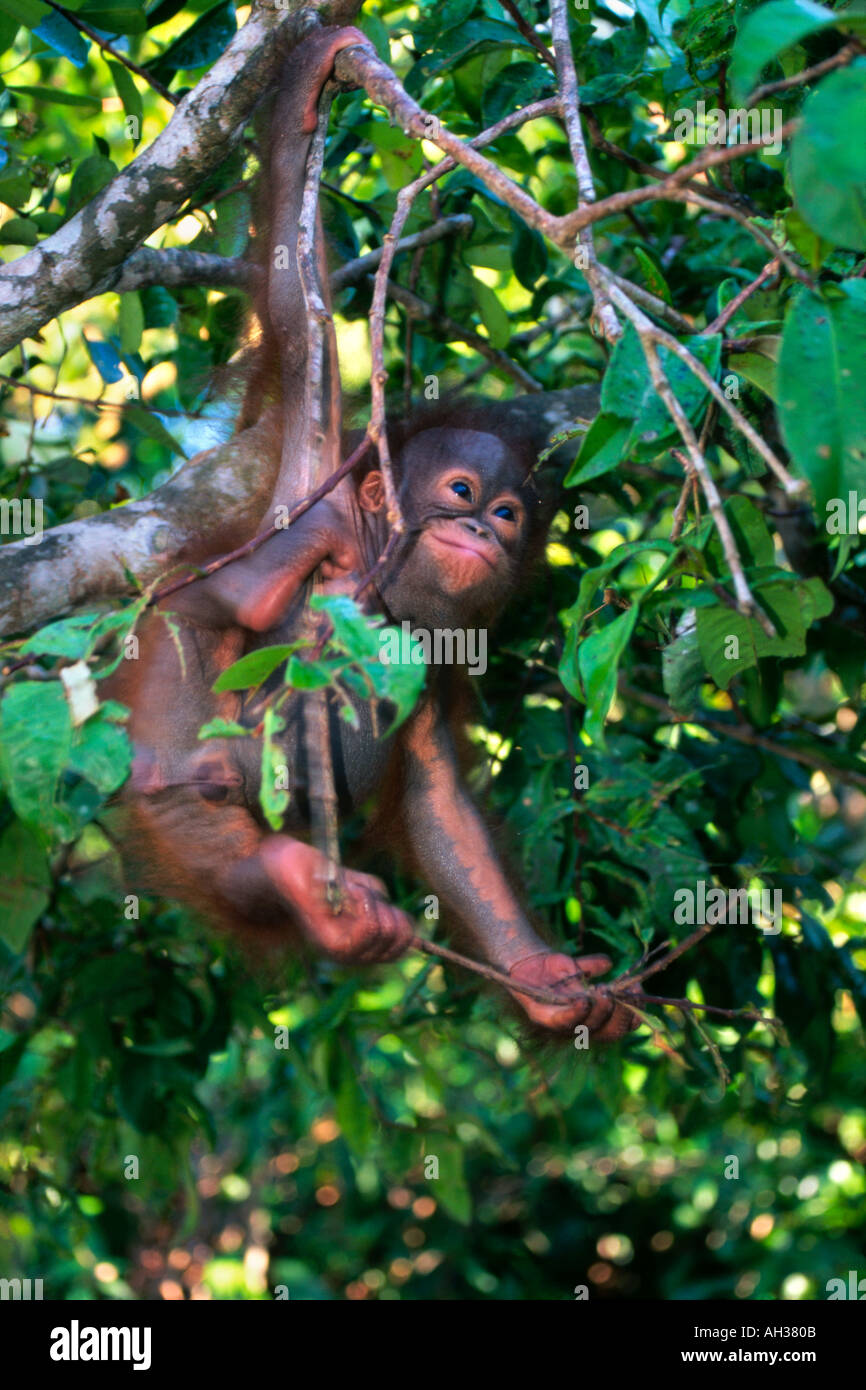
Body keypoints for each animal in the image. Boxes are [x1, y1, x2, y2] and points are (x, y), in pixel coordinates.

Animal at [103, 25, 637, 1042]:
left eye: (507, 515)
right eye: (461, 490)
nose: (477, 529)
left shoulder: (440, 642)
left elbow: (434, 794)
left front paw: (541, 979)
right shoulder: (316, 481)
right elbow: (296, 301)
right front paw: (315, 73)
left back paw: (328, 910)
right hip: (166, 774)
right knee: (204, 743)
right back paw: (295, 880)